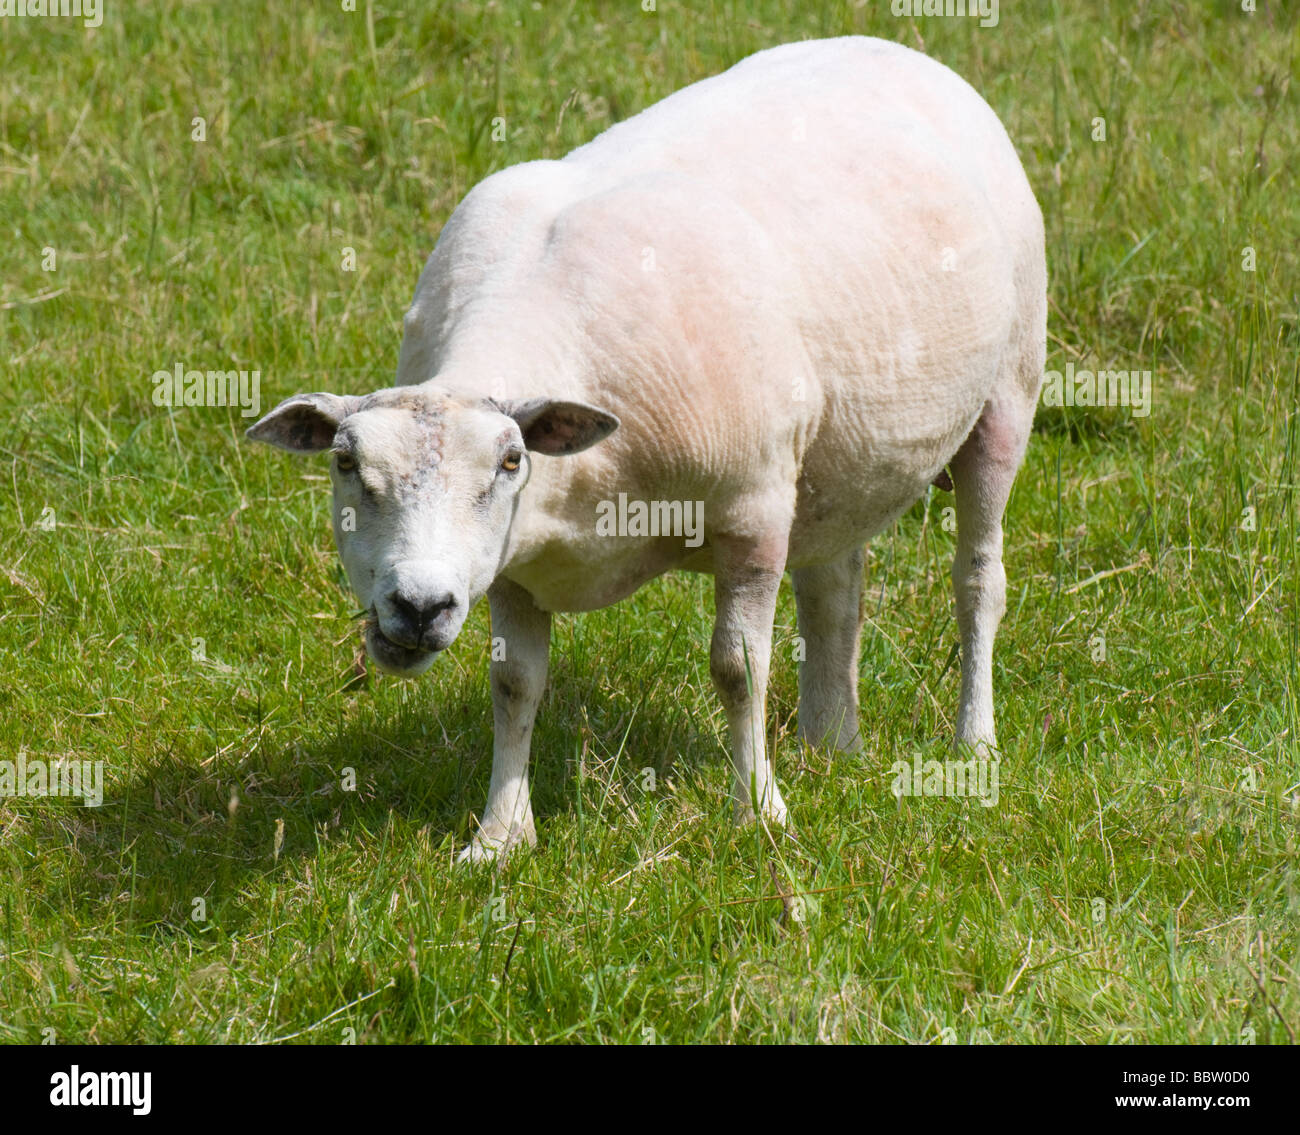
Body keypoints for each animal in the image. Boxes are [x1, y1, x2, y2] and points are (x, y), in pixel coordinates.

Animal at [247, 36, 1047, 862]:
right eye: (346, 464)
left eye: (510, 462)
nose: (419, 605)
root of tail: (896, 49)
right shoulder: (510, 562)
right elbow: (514, 684)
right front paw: (499, 837)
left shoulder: (754, 511)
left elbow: (739, 668)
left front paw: (759, 811)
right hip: (835, 462)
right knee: (835, 589)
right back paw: (832, 741)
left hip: (1008, 392)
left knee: (978, 580)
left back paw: (973, 741)